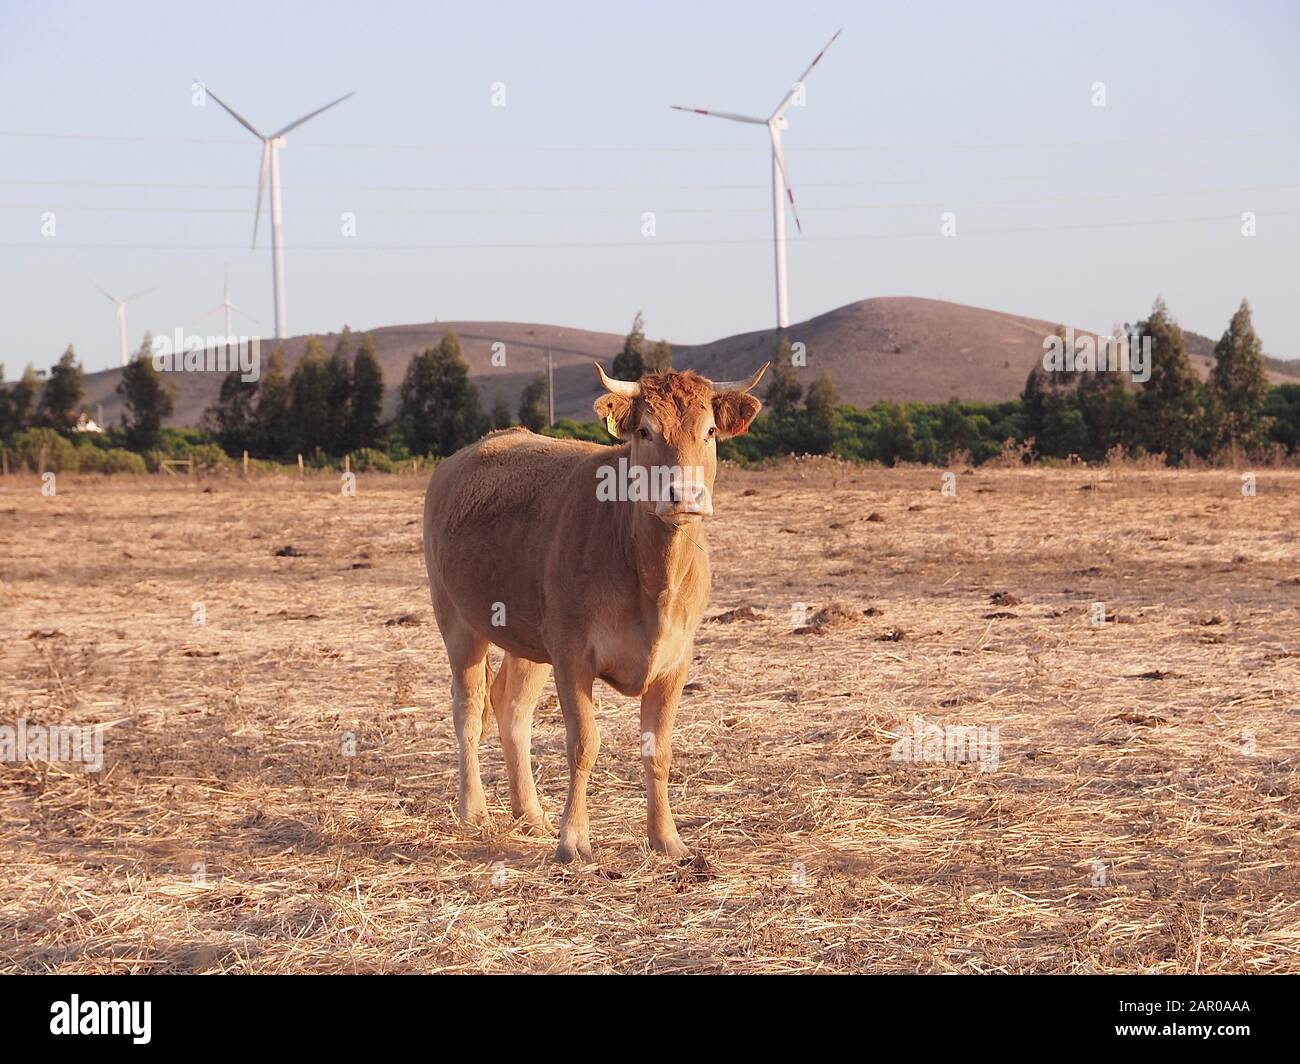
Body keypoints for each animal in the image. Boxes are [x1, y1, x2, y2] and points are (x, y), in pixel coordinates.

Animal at [422, 362, 767, 862]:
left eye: (709, 431)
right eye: (645, 431)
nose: (683, 494)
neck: (650, 577)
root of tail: (463, 456)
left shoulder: (675, 661)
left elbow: (658, 749)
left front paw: (666, 838)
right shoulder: (572, 655)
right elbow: (583, 744)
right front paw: (574, 840)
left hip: (527, 640)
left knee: (512, 710)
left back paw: (530, 813)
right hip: (456, 618)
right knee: (468, 708)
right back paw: (474, 810)